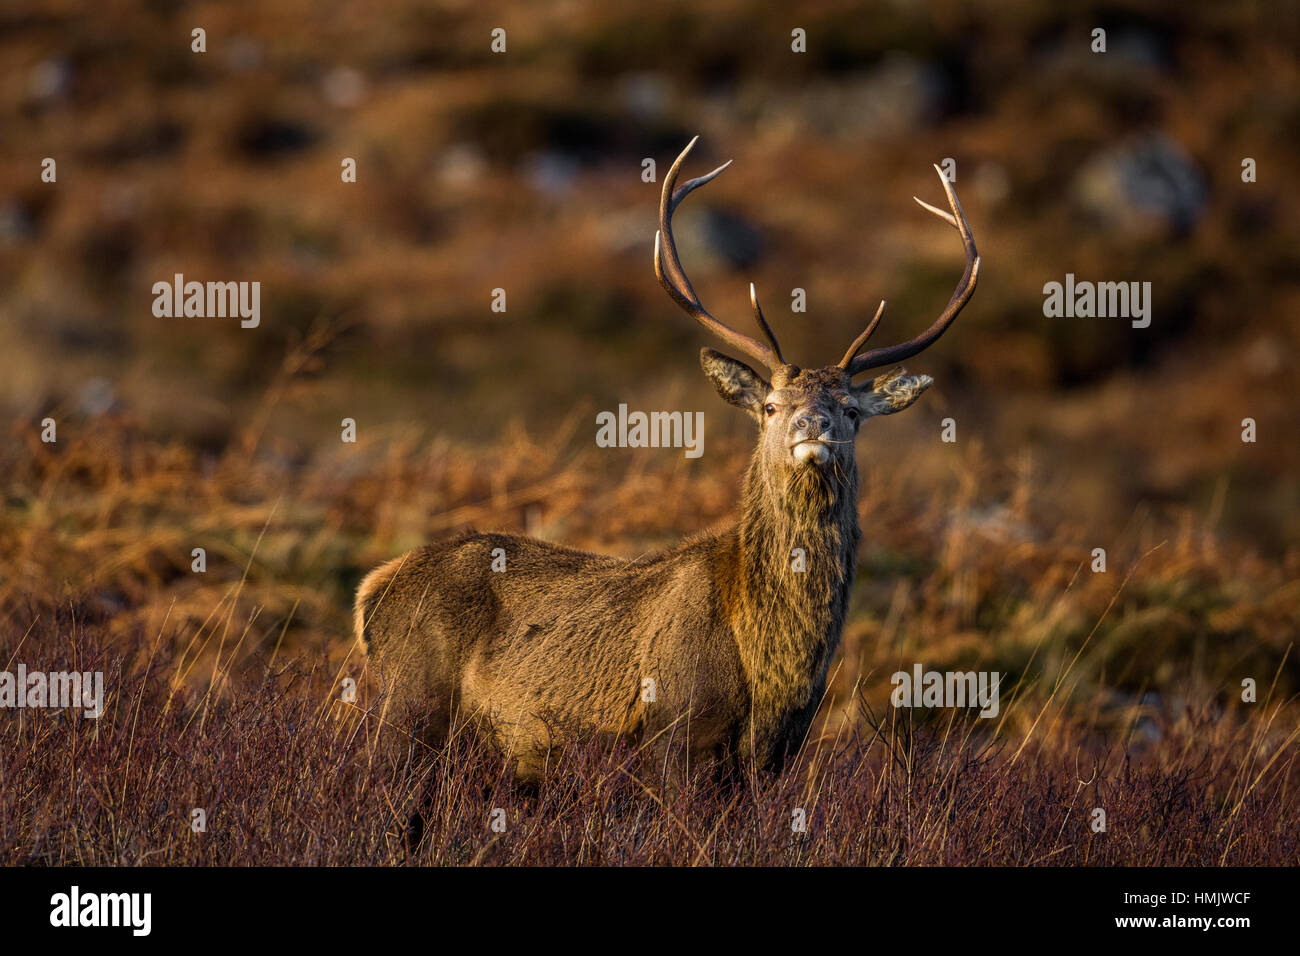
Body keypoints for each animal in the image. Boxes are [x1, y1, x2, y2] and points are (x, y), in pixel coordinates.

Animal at [355, 137, 979, 784]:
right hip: (410, 704)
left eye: (851, 410)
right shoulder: (675, 728)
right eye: (772, 406)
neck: (773, 670)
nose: (814, 425)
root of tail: (371, 591)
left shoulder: (778, 754)